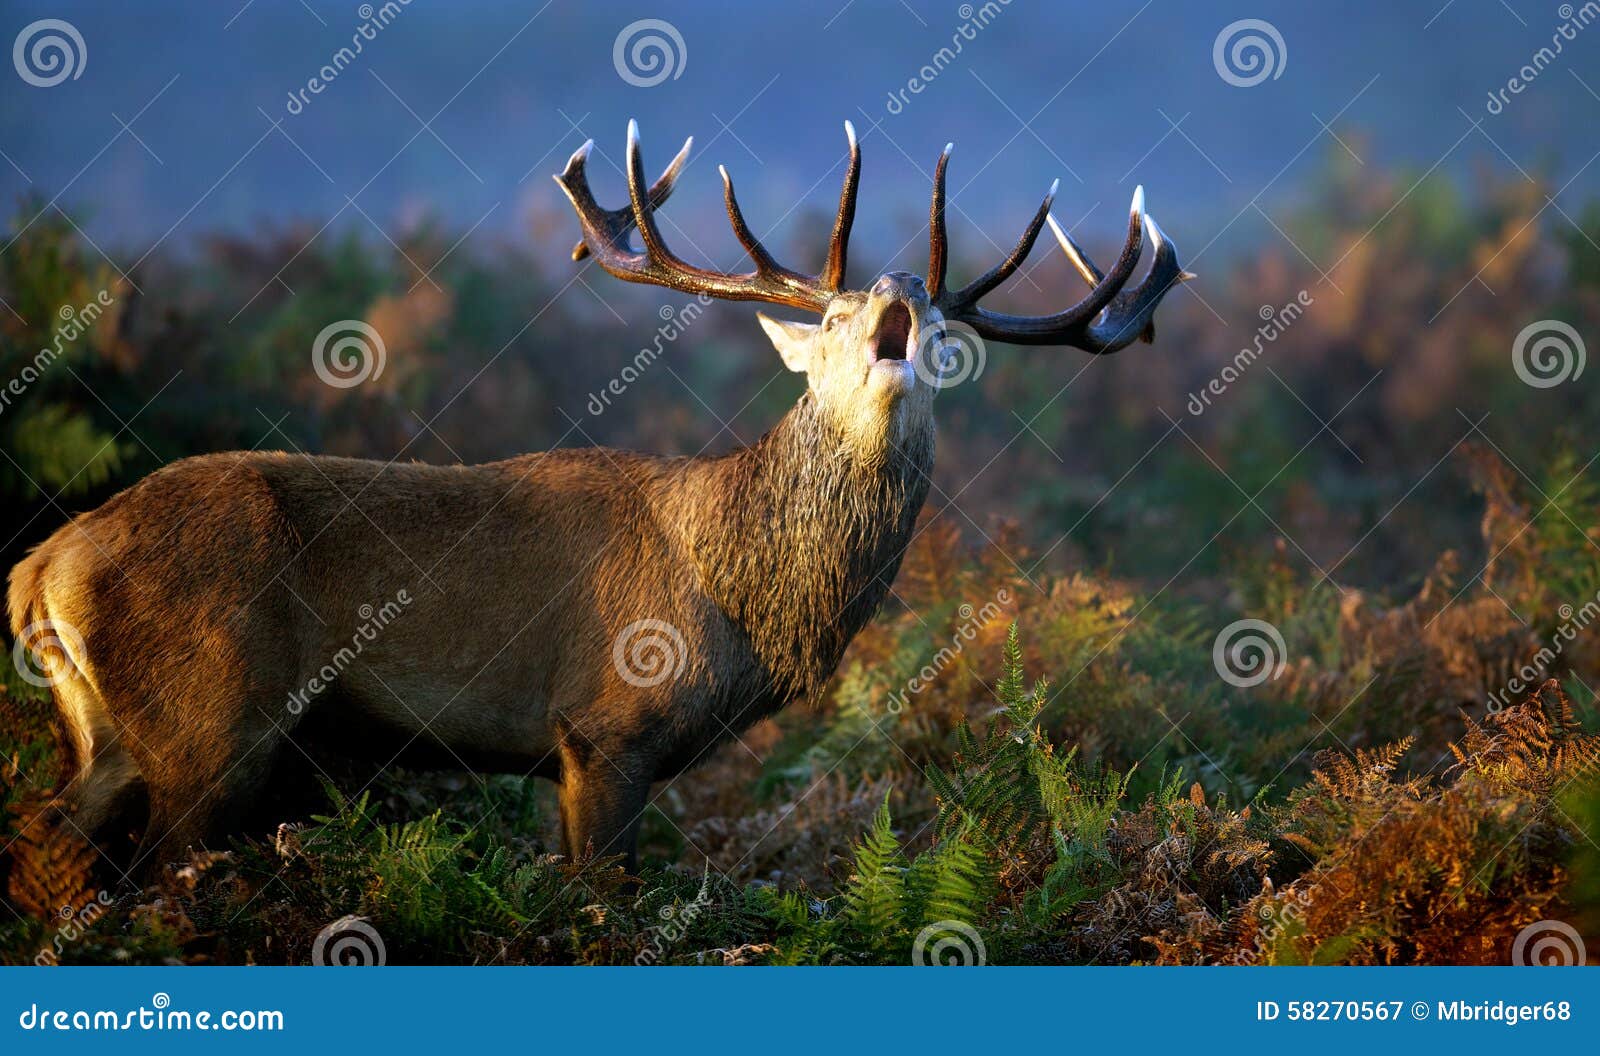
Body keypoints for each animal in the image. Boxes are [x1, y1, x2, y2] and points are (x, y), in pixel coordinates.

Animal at [8, 120, 1185, 879]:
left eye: (940, 329)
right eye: (836, 315)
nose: (898, 287)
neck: (745, 605)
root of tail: (42, 565)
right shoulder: (604, 728)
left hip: (109, 728)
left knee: (54, 840)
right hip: (212, 719)